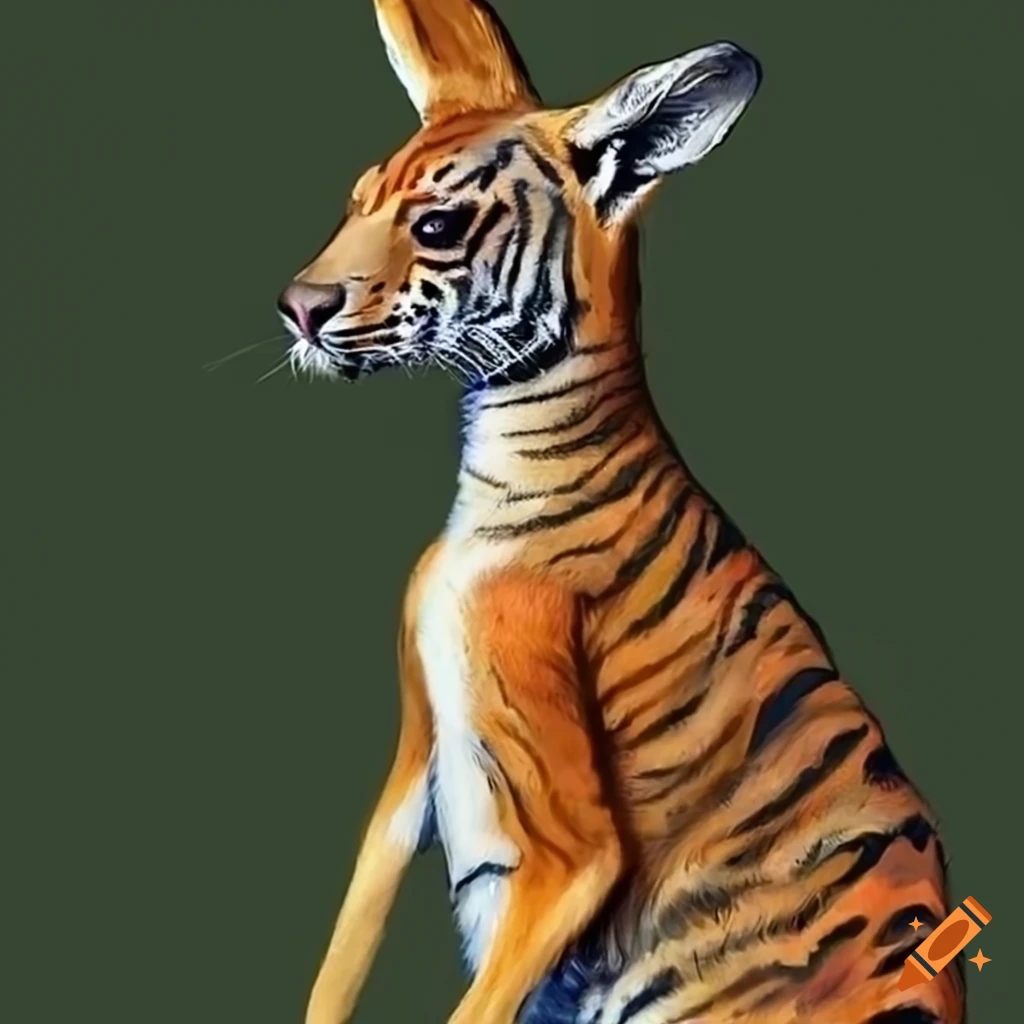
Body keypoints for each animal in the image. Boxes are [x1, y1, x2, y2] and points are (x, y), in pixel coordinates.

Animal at [274, 2, 965, 1023]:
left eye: (437, 224)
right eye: (356, 199)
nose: (297, 308)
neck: (500, 471)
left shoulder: (571, 849)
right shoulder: (413, 760)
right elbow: (346, 943)